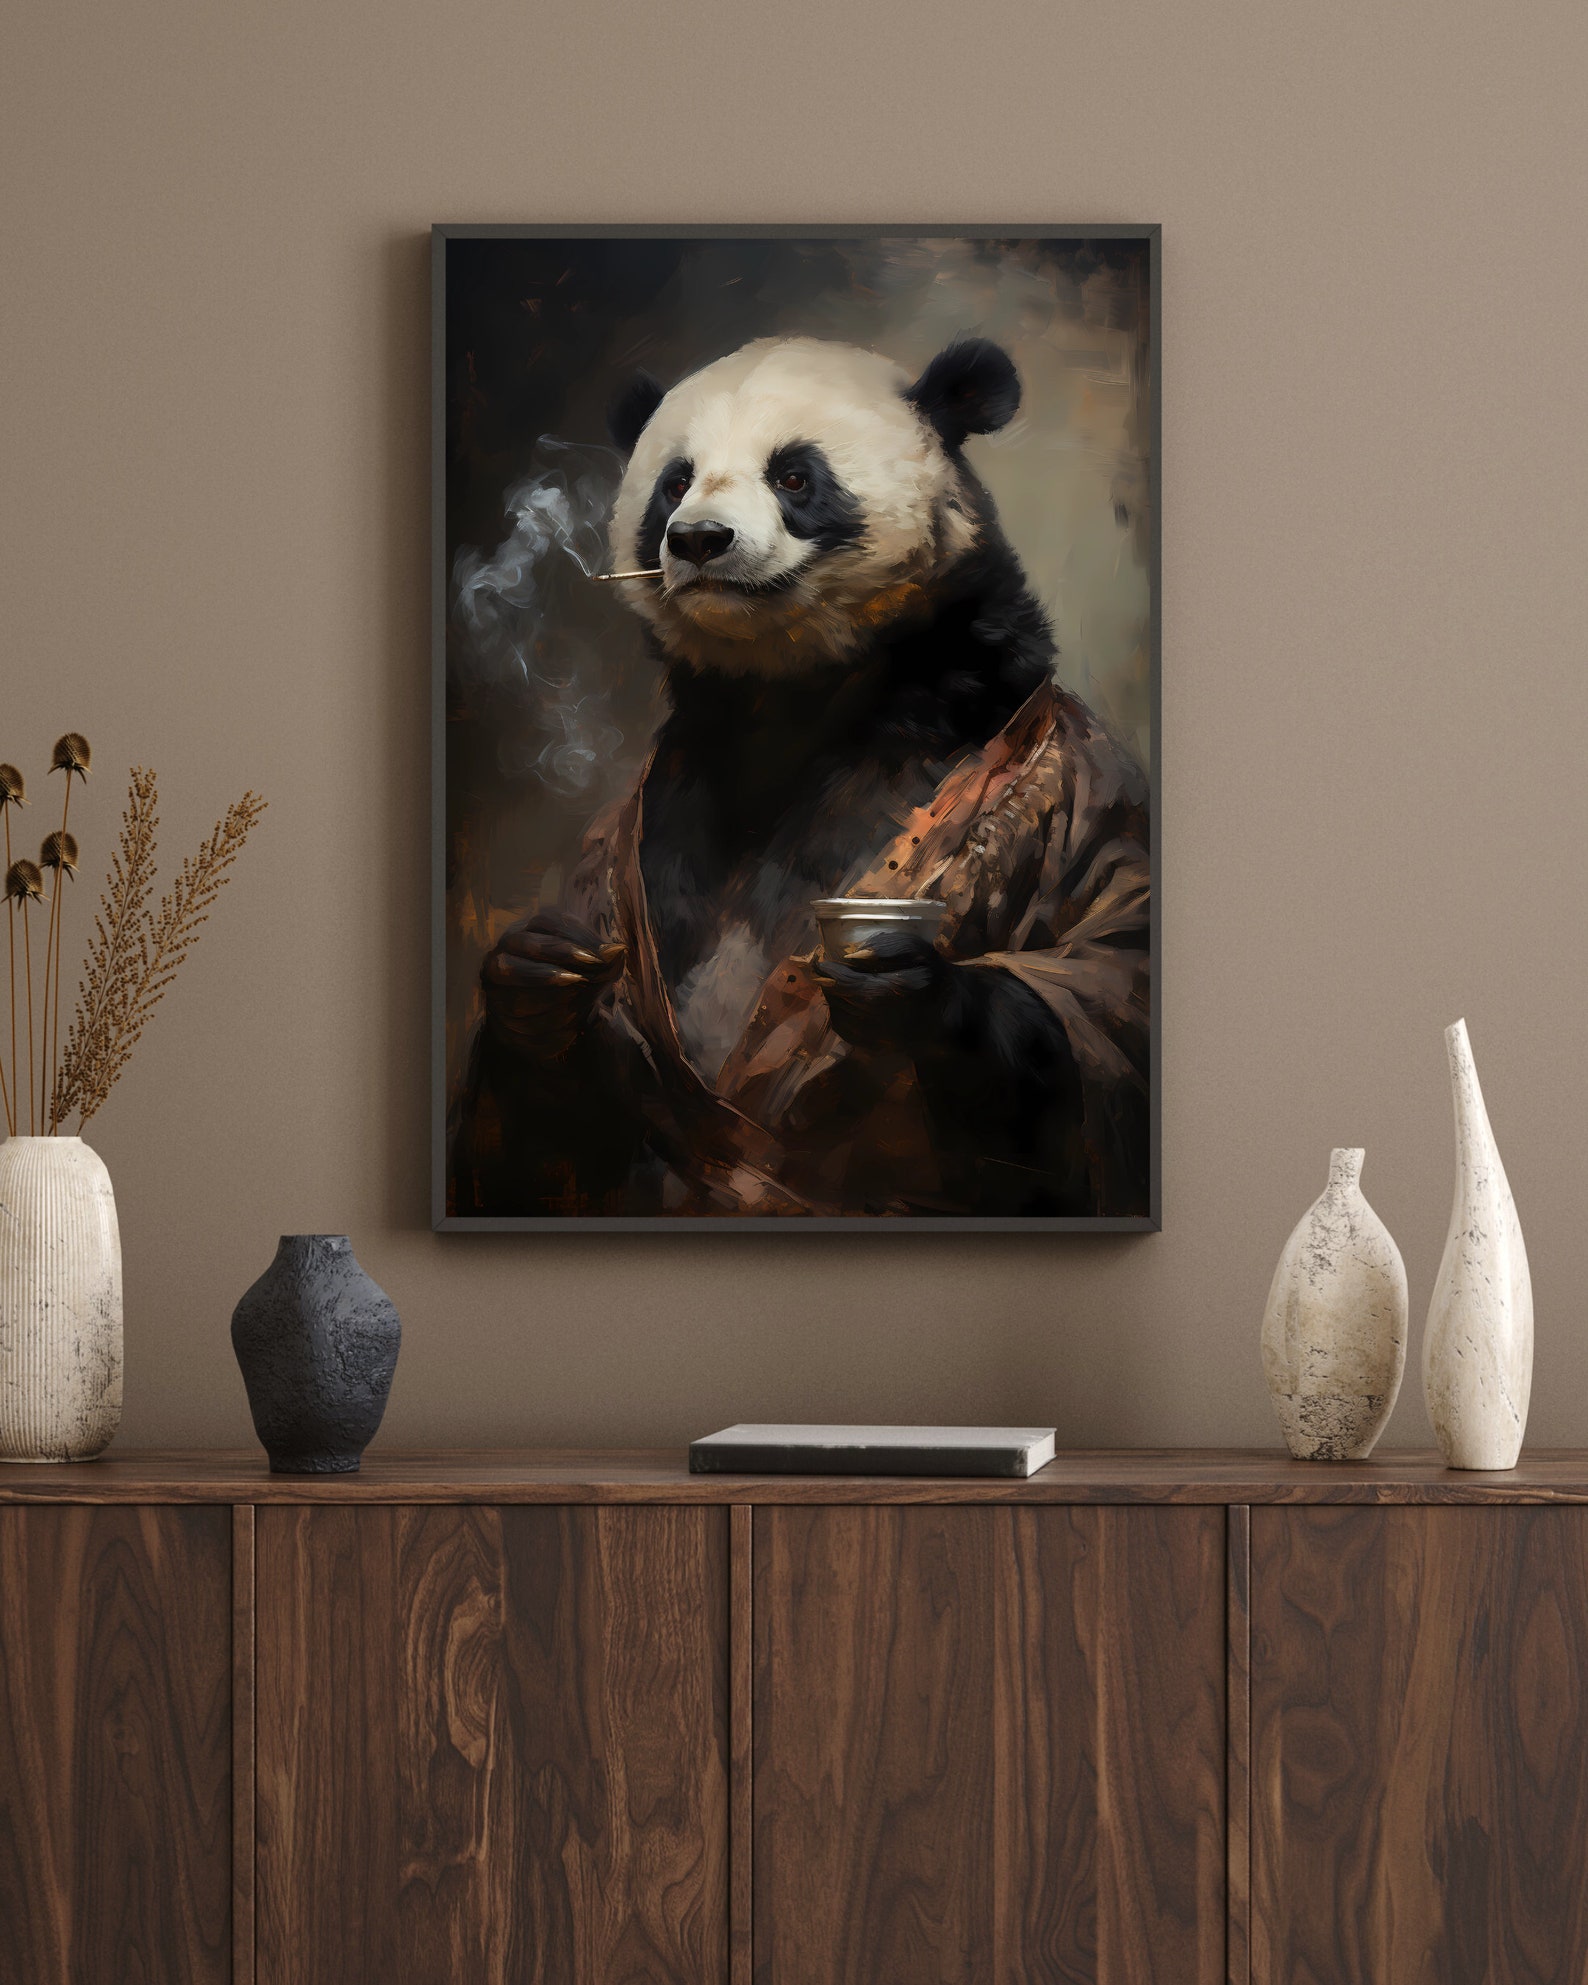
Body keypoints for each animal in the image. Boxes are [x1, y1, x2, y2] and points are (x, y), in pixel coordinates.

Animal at [451, 334, 1151, 1220]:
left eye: (793, 475)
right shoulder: (649, 810)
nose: (698, 538)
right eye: (675, 480)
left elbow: (1108, 981)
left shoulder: (1018, 736)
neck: (791, 684)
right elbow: (558, 1150)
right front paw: (535, 986)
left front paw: (910, 992)